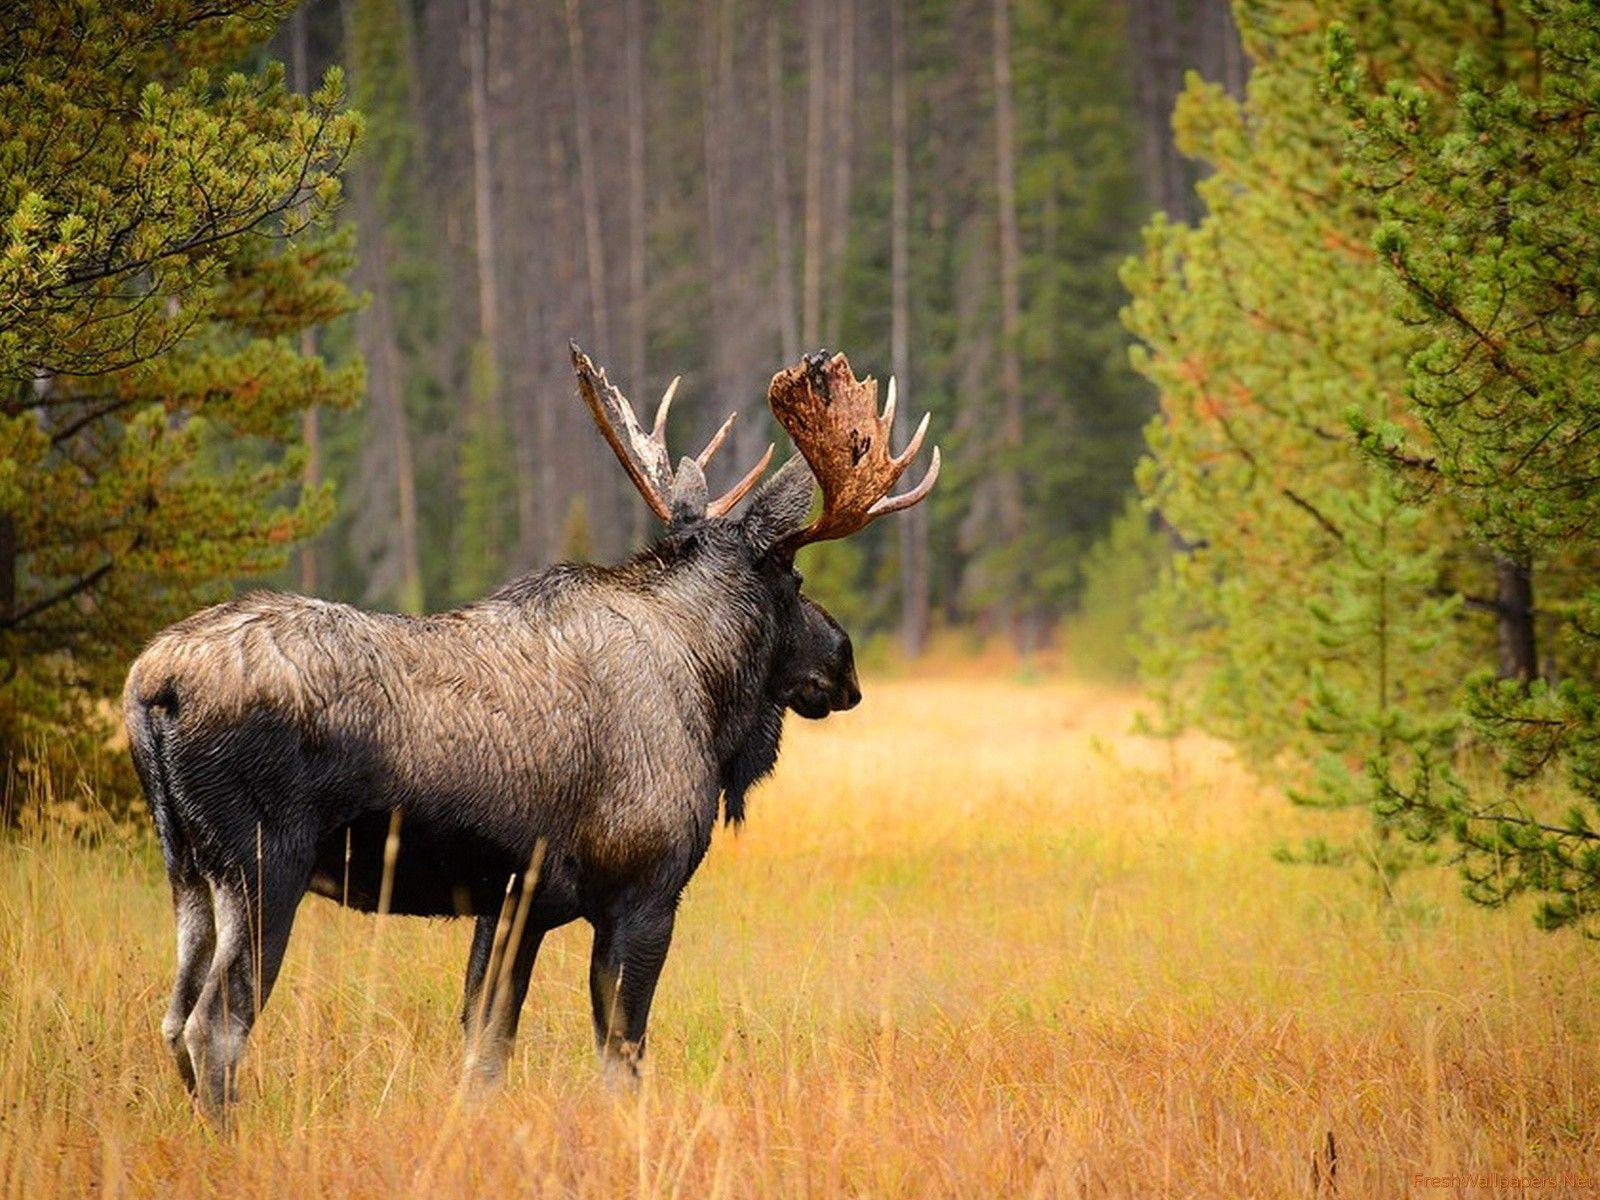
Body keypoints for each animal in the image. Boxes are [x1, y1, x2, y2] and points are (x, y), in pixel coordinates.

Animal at [122, 344, 939, 1118]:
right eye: (795, 582)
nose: (845, 664)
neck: (709, 689)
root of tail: (151, 686)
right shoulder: (643, 894)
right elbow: (622, 1057)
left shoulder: (514, 904)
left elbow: (484, 1052)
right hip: (264, 866)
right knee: (215, 1026)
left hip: (187, 870)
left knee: (172, 1019)